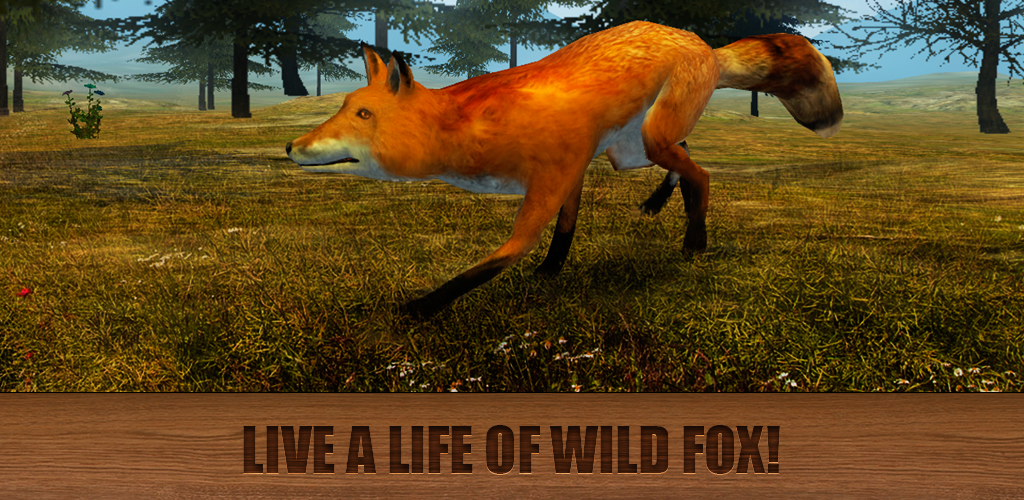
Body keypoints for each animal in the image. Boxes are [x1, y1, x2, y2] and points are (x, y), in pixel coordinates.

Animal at [285, 21, 843, 317]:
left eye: (362, 115)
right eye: (344, 107)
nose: (290, 145)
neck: (474, 129)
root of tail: (700, 42)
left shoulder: (551, 180)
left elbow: (496, 260)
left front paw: (420, 309)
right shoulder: (571, 171)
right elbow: (566, 230)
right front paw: (552, 271)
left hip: (648, 140)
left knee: (702, 175)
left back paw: (695, 242)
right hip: (631, 151)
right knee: (687, 161)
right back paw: (659, 201)